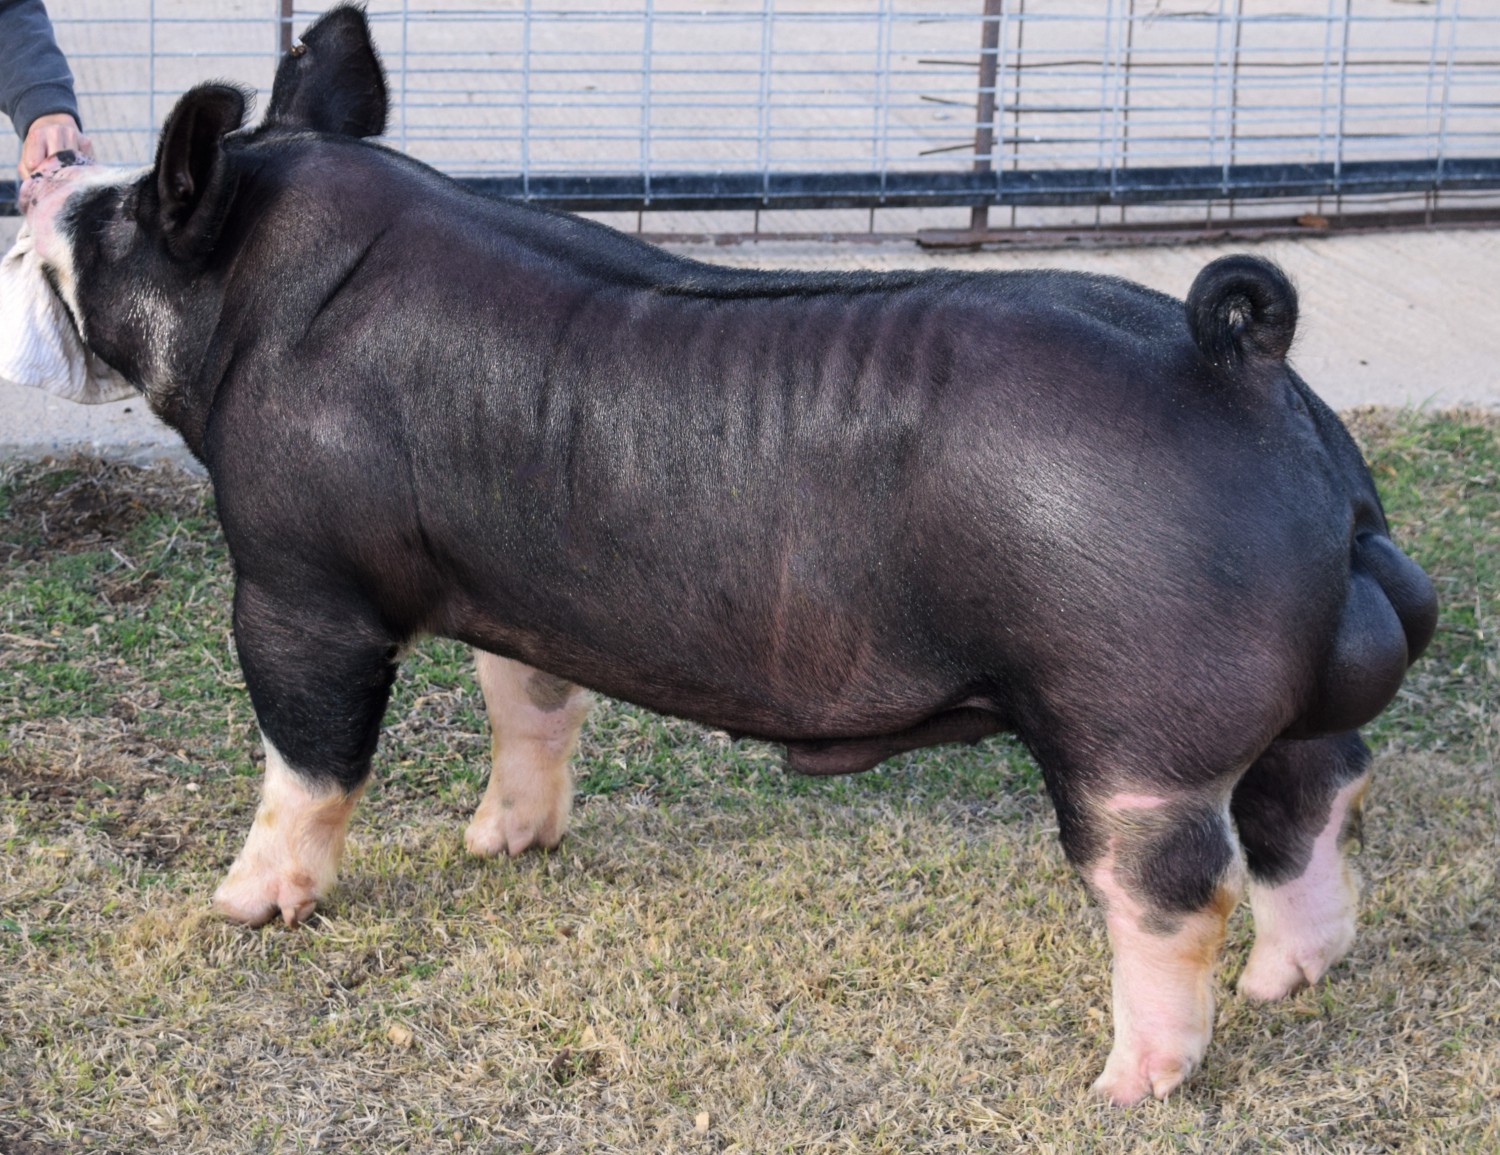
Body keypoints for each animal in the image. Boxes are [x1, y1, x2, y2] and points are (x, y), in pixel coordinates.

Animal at [14, 4, 1436, 1104]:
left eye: (130, 213)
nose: (45, 180)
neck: (266, 311)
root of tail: (1244, 368)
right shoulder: (518, 593)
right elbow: (527, 701)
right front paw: (497, 847)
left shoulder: (300, 581)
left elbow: (306, 758)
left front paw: (240, 909)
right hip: (1278, 700)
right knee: (1319, 795)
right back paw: (1289, 978)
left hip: (1131, 726)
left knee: (1176, 887)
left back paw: (1126, 1084)